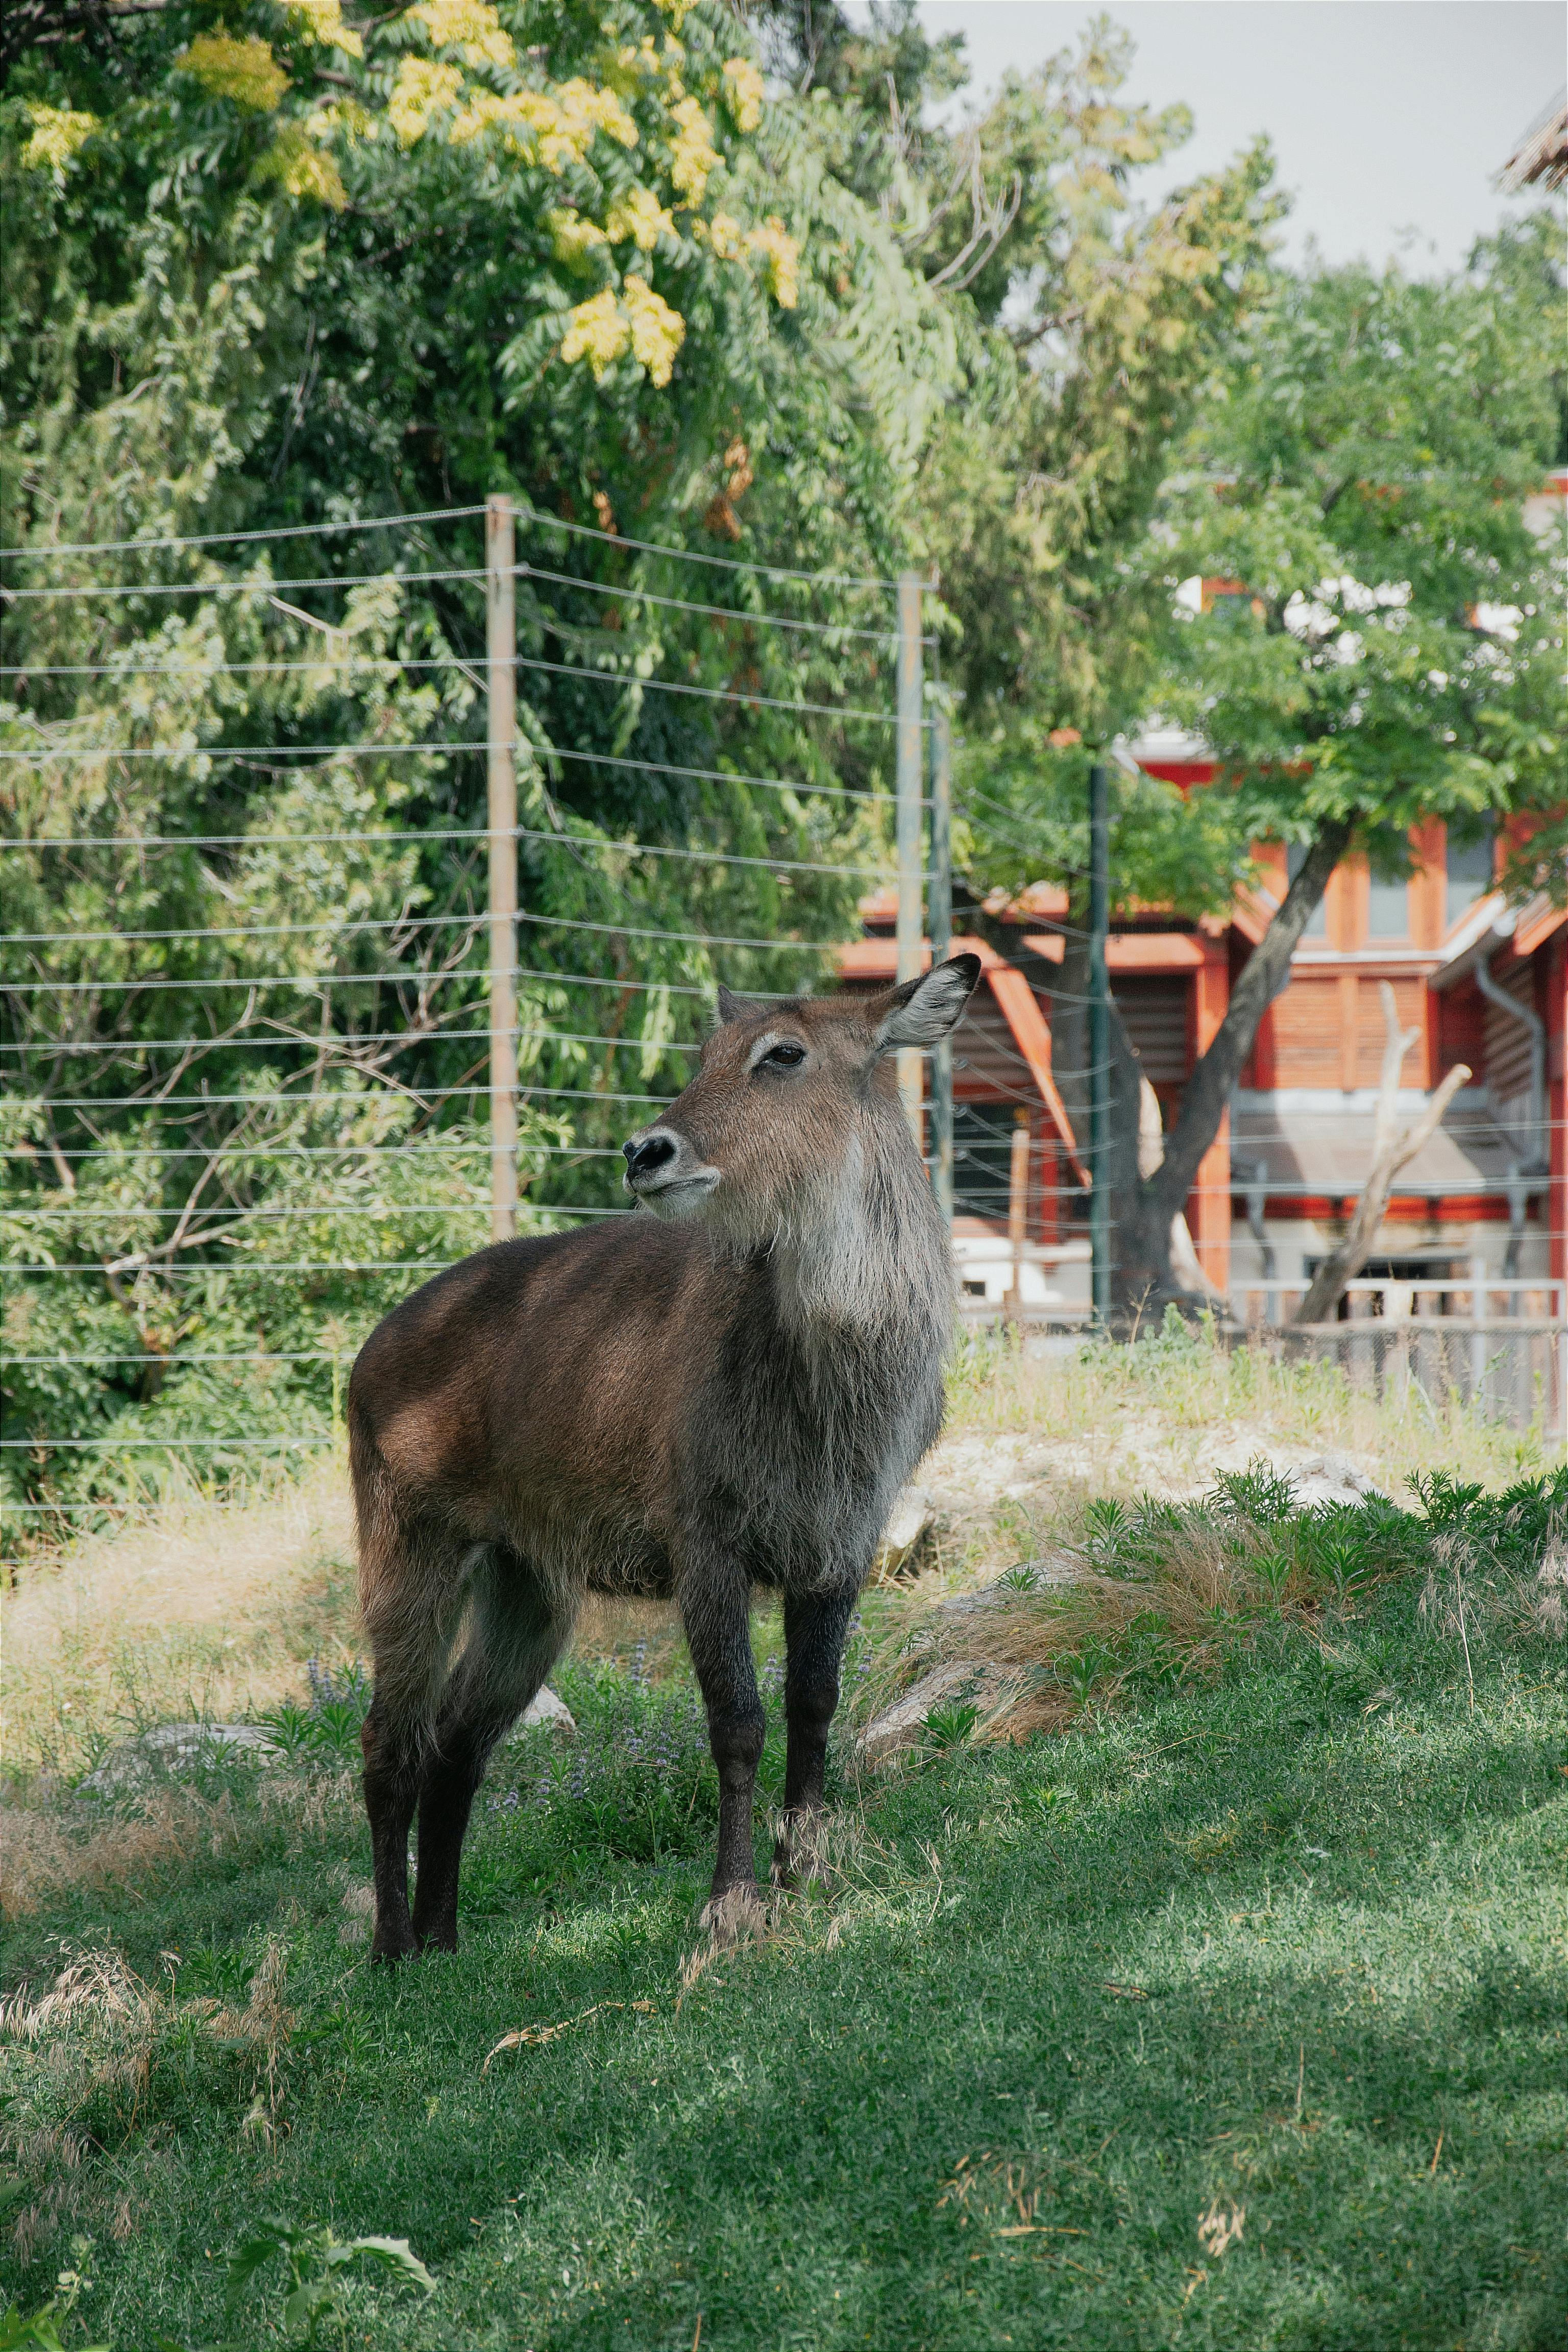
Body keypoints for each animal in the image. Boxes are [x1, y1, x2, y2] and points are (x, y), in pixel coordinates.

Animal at [349, 952, 981, 1959]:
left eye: (782, 1052)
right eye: (705, 1052)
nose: (645, 1153)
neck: (832, 1378)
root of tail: (367, 1353)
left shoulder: (839, 1542)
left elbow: (815, 1703)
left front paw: (806, 1872)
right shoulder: (705, 1542)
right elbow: (737, 1723)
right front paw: (730, 1905)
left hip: (532, 1586)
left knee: (454, 1743)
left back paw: (445, 1941)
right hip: (411, 1551)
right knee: (387, 1743)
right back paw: (389, 1949)